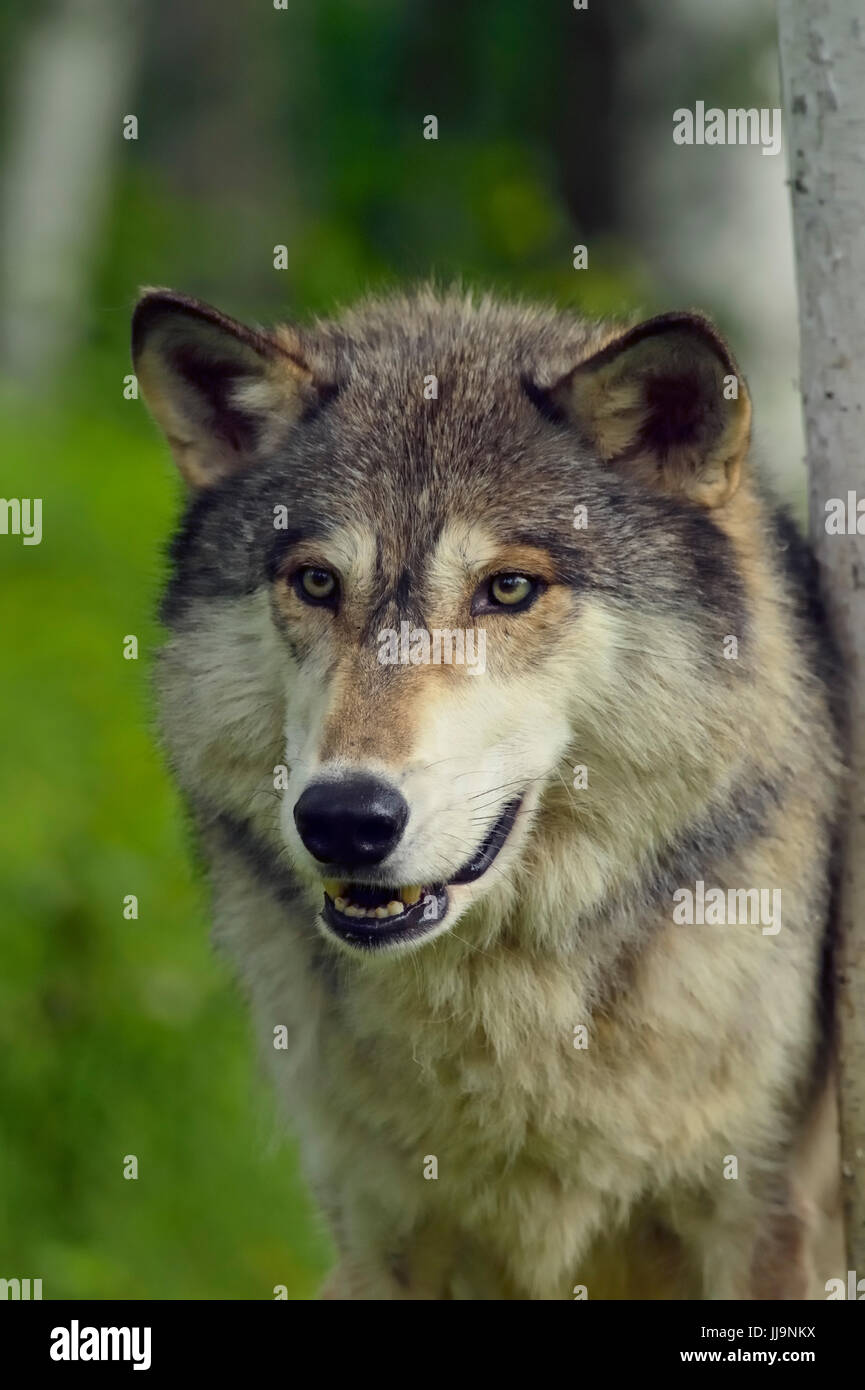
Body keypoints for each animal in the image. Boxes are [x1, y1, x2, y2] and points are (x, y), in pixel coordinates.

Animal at [132, 285, 845, 1299]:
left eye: (506, 589)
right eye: (315, 581)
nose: (343, 818)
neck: (511, 1003)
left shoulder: (768, 1227)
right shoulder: (379, 1235)